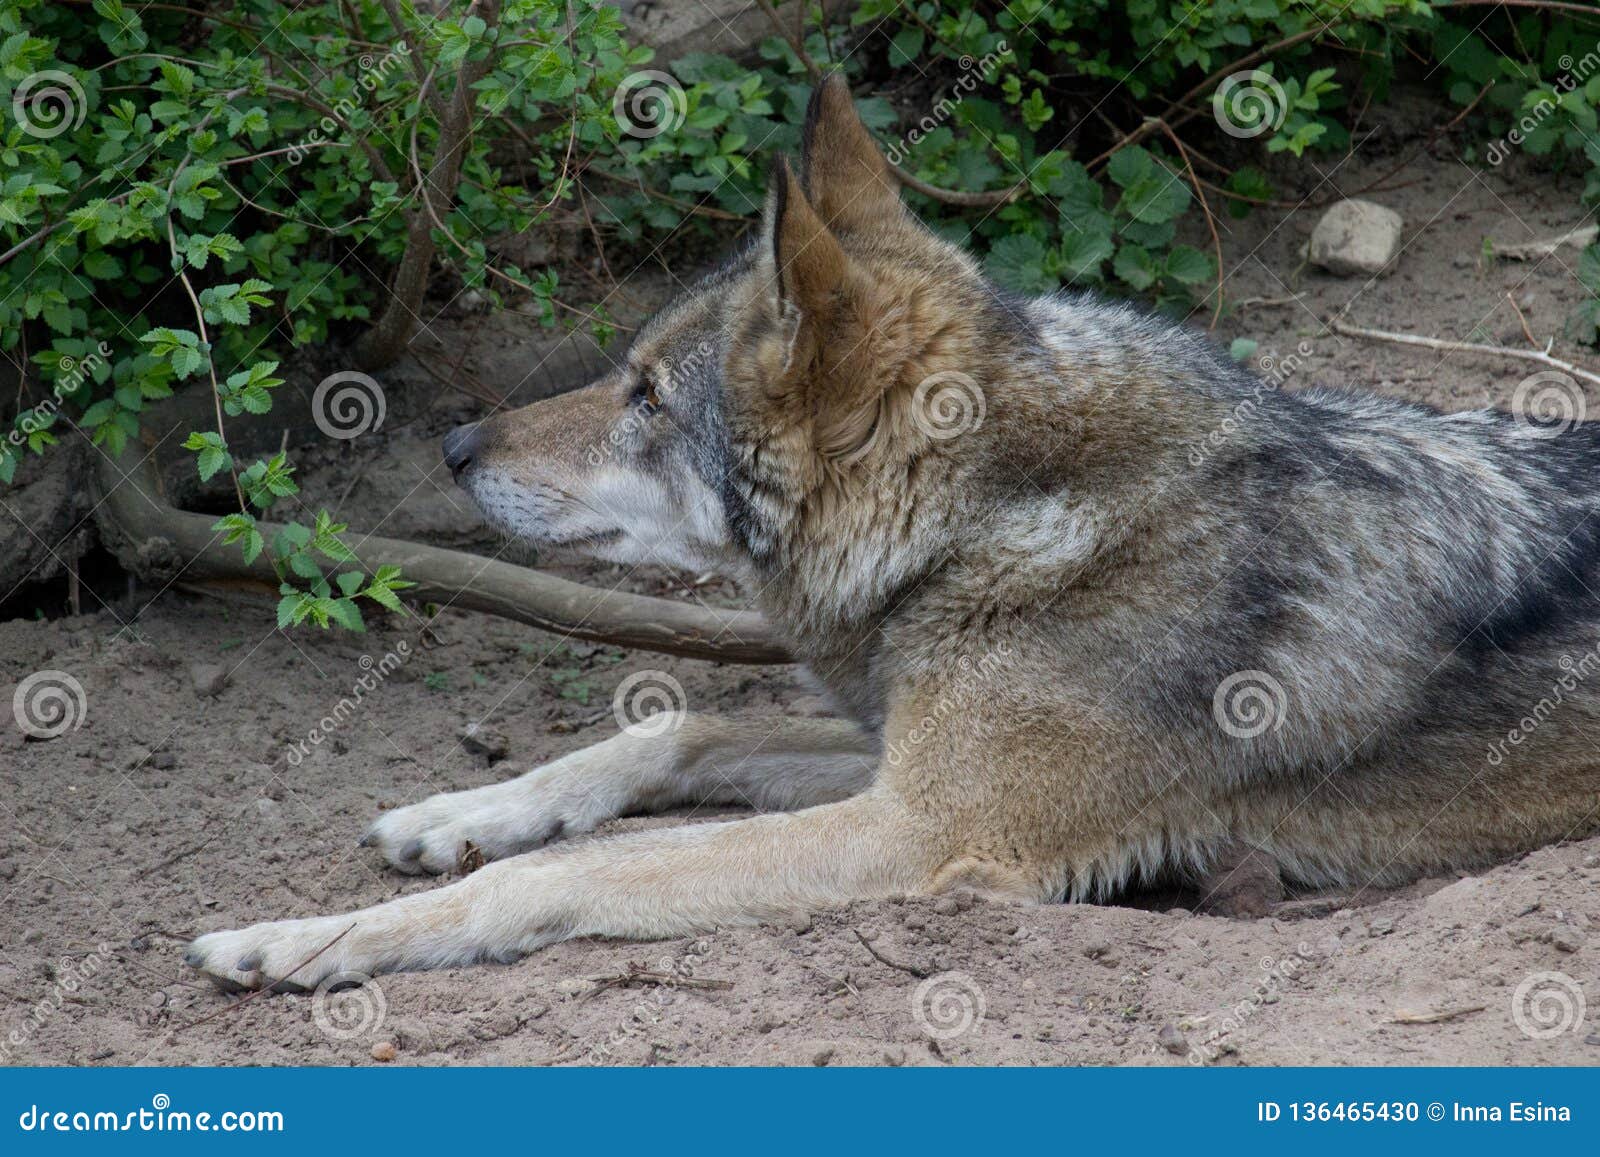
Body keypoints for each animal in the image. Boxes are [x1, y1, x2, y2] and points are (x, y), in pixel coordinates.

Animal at [188, 78, 1600, 990]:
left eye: (645, 396)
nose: (455, 447)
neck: (995, 522)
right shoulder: (892, 763)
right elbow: (668, 730)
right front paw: (456, 812)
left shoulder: (921, 829)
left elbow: (561, 875)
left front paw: (301, 938)